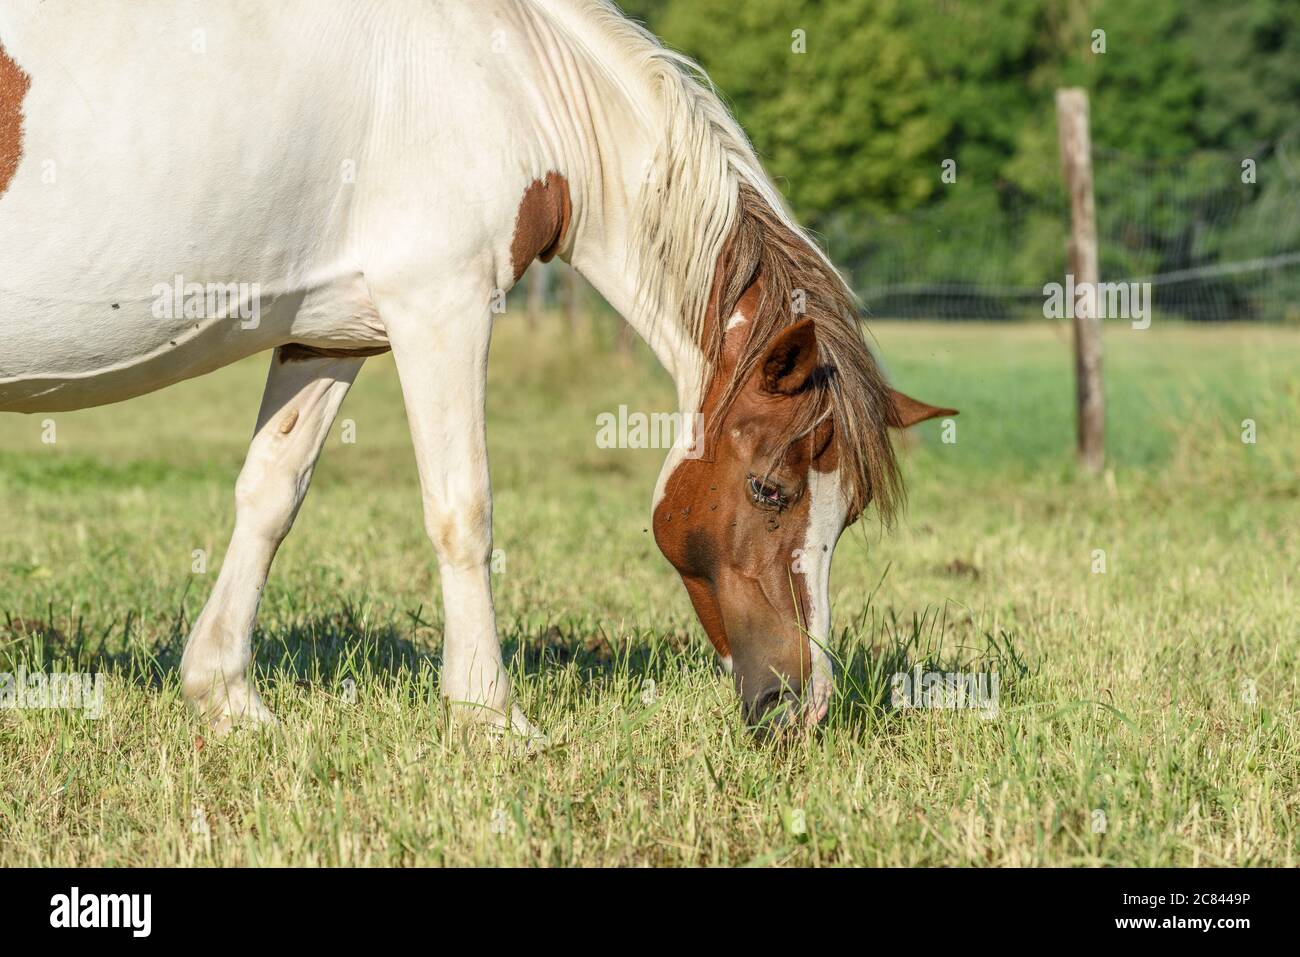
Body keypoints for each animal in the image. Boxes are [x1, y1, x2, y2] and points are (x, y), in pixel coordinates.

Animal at [0, 0, 954, 737]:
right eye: (768, 490)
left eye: (847, 513)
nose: (803, 708)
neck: (507, 80)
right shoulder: (440, 306)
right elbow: (464, 511)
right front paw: (491, 715)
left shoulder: (331, 332)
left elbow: (271, 494)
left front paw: (228, 696)